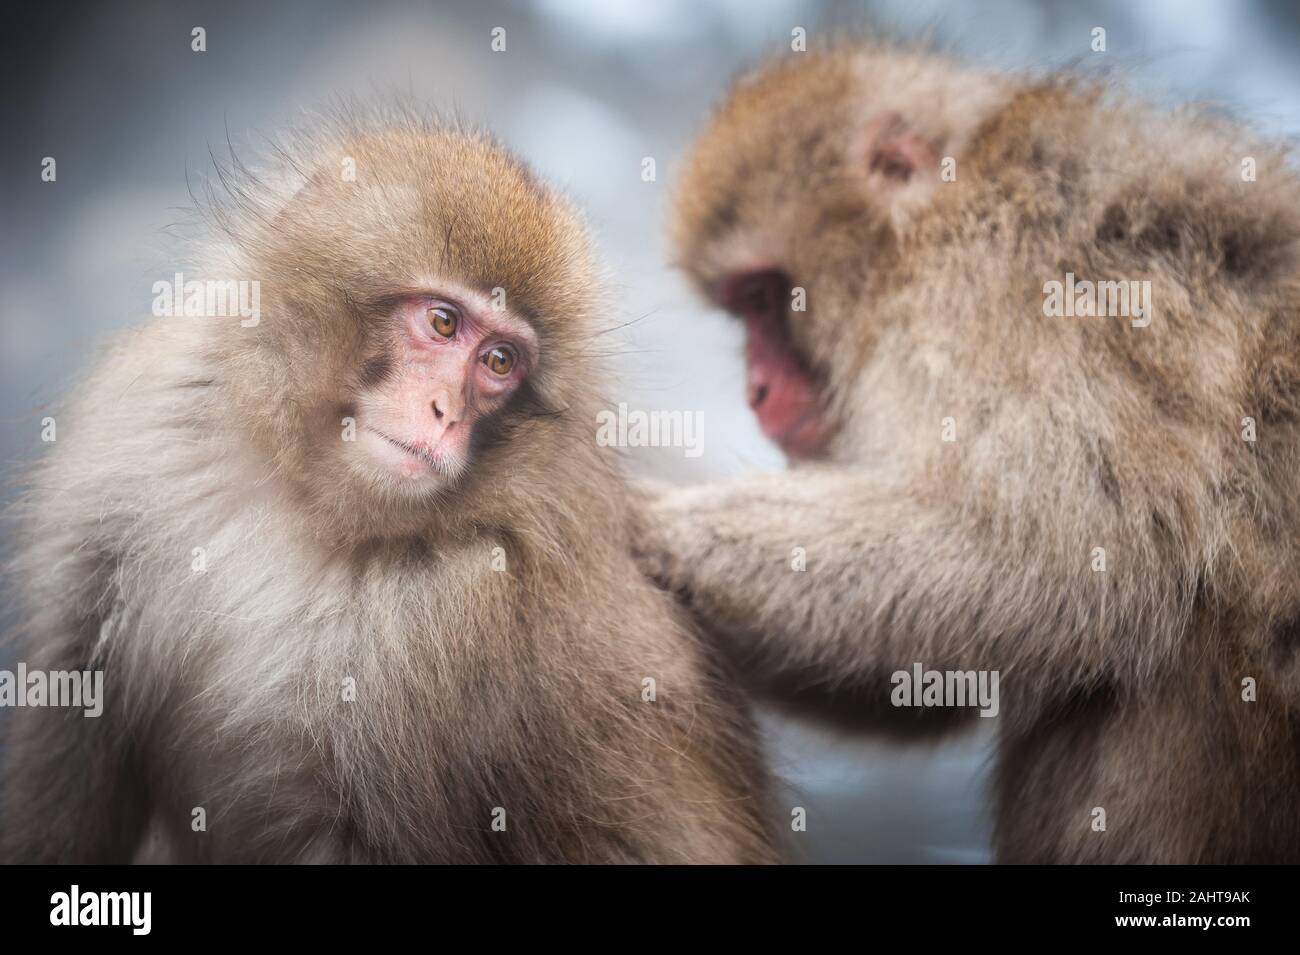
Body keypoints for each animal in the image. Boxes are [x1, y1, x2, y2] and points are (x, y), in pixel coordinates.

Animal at [0, 108, 777, 864]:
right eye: (442, 321)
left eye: (500, 361)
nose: (445, 412)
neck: (307, 506)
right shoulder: (132, 444)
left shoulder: (456, 616)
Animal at [643, 39, 1300, 863]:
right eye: (743, 307)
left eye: (763, 298)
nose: (756, 389)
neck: (927, 230)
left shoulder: (995, 289)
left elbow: (1059, 562)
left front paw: (650, 525)